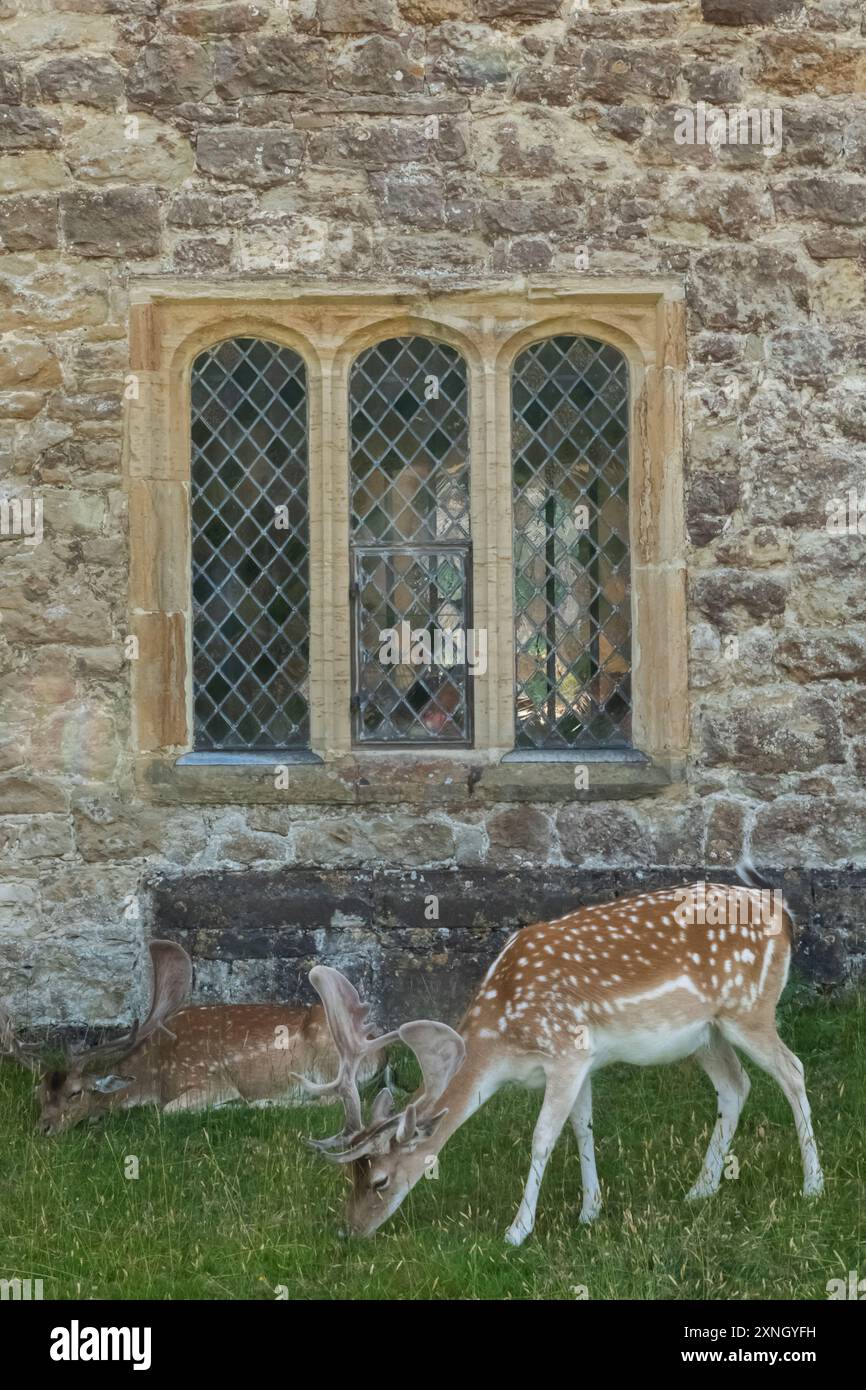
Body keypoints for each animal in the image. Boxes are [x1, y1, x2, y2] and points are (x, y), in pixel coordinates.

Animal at [1, 940, 387, 1136]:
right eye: (39, 1094)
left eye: (75, 1093)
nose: (44, 1128)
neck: (156, 1073)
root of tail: (378, 1052)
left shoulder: (210, 1081)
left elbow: (166, 1111)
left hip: (331, 1066)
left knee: (334, 1100)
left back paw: (259, 1103)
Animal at [294, 860, 824, 1246]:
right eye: (351, 1179)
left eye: (380, 1180)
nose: (350, 1231)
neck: (504, 1039)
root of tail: (784, 915)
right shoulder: (583, 1059)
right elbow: (582, 1126)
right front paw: (590, 1211)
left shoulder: (565, 1050)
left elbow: (543, 1137)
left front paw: (516, 1231)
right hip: (705, 1033)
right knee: (736, 1085)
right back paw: (701, 1188)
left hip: (748, 1008)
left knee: (794, 1069)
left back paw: (813, 1186)